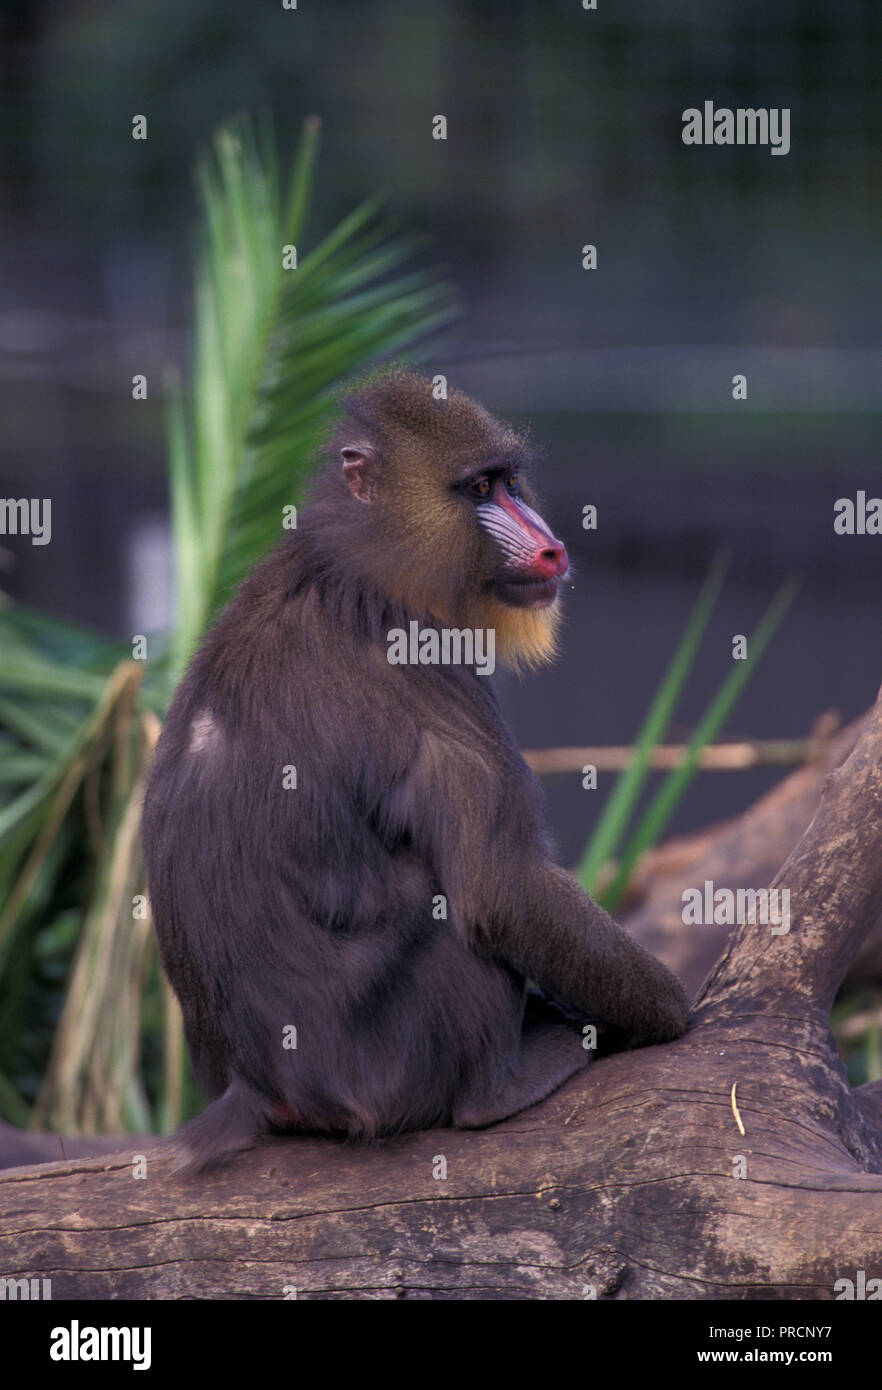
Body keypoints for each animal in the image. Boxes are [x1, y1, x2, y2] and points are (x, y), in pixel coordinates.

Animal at [141, 369, 689, 1170]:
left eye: (510, 480)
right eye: (479, 488)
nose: (551, 550)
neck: (357, 558)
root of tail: (255, 1090)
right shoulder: (426, 665)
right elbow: (503, 887)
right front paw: (675, 1011)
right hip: (394, 1066)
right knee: (448, 913)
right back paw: (505, 1086)